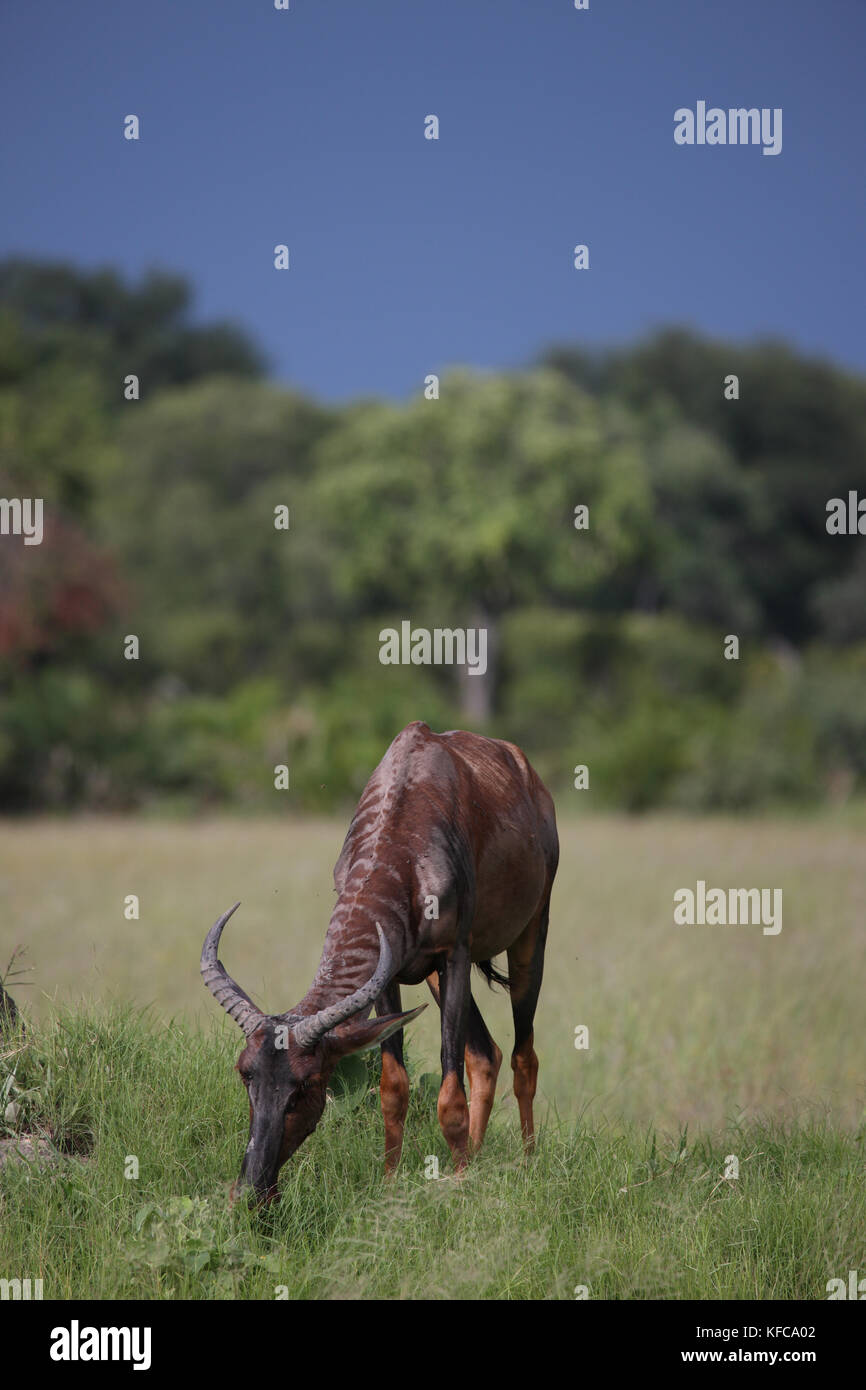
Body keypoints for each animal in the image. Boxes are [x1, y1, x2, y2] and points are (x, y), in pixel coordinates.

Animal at [201, 720, 558, 1202]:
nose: (254, 1192)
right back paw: (479, 1157)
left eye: (307, 1083)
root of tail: (528, 775)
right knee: (485, 1053)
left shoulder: (456, 955)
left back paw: (525, 1160)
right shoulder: (388, 976)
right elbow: (393, 1086)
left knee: (524, 1056)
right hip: (433, 977)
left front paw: (458, 1185)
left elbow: (449, 1096)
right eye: (245, 1074)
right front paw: (390, 1183)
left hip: (529, 934)